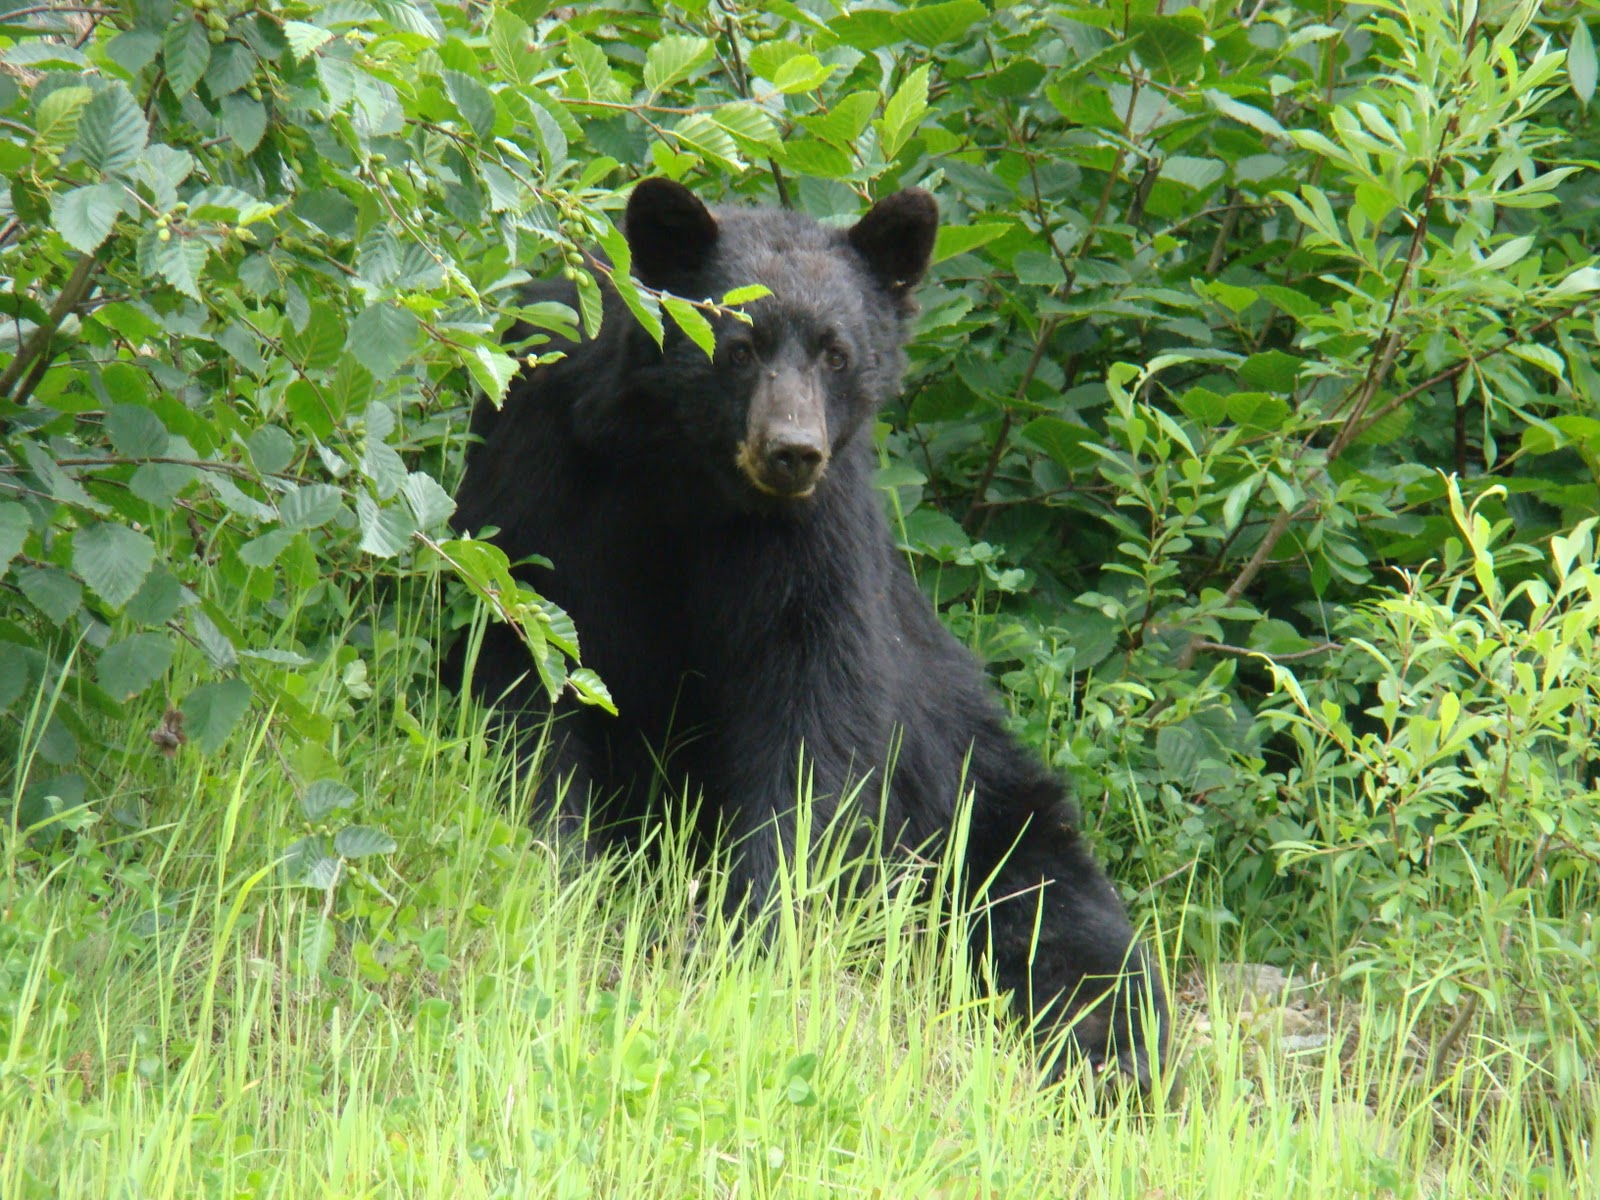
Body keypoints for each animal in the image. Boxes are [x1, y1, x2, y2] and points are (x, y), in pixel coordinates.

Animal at [451, 178, 1168, 1088]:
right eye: (738, 346)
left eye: (837, 353)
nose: (790, 450)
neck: (684, 471)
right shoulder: (538, 464)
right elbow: (526, 672)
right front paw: (560, 877)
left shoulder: (815, 538)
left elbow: (810, 721)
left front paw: (754, 931)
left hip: (990, 808)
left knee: (1059, 925)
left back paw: (1111, 1056)